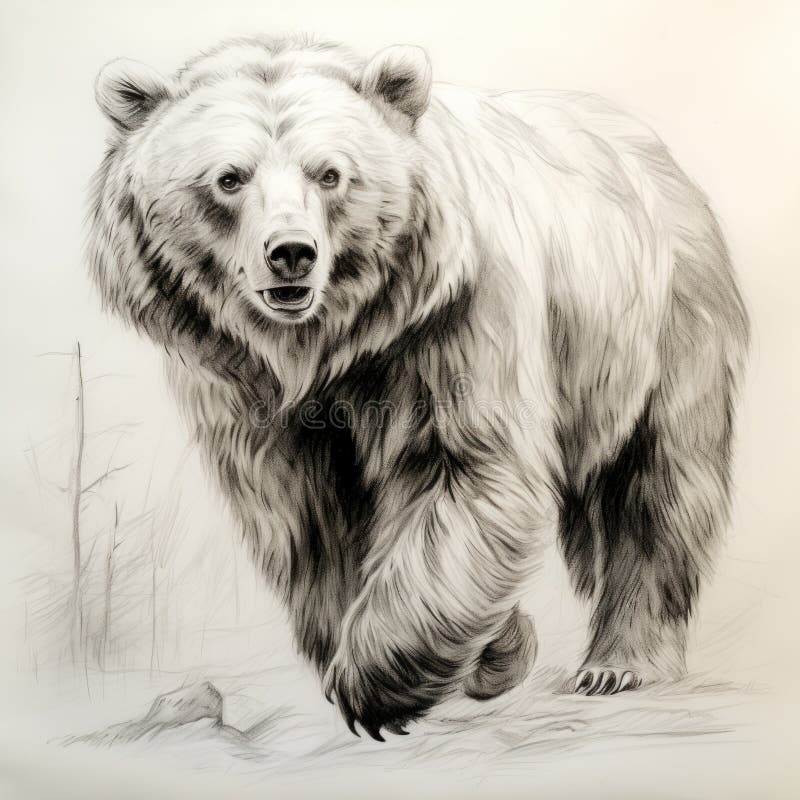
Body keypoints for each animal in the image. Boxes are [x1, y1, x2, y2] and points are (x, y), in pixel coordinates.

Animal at [88, 34, 749, 740]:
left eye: (329, 174)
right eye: (229, 177)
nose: (291, 253)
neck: (329, 346)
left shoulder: (451, 326)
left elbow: (469, 472)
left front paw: (378, 685)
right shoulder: (244, 386)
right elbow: (309, 519)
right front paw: (489, 649)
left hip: (660, 325)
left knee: (656, 487)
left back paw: (619, 664)